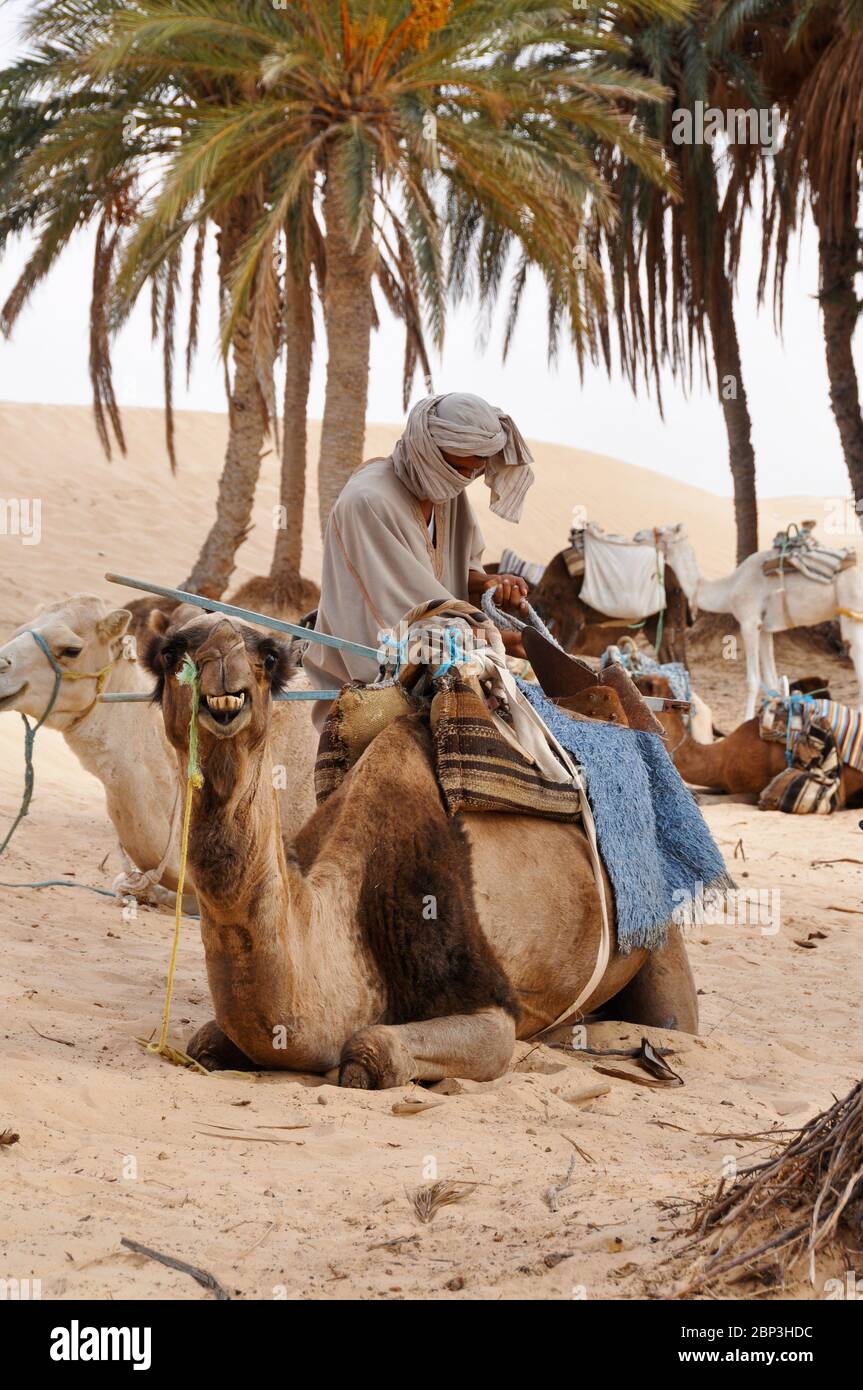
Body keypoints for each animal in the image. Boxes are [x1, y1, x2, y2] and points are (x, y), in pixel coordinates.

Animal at [145, 611, 699, 1087]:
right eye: (172, 654)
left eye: (266, 656)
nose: (223, 658)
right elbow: (204, 1044)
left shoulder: (489, 1008)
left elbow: (370, 1052)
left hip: (659, 930)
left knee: (676, 1017)